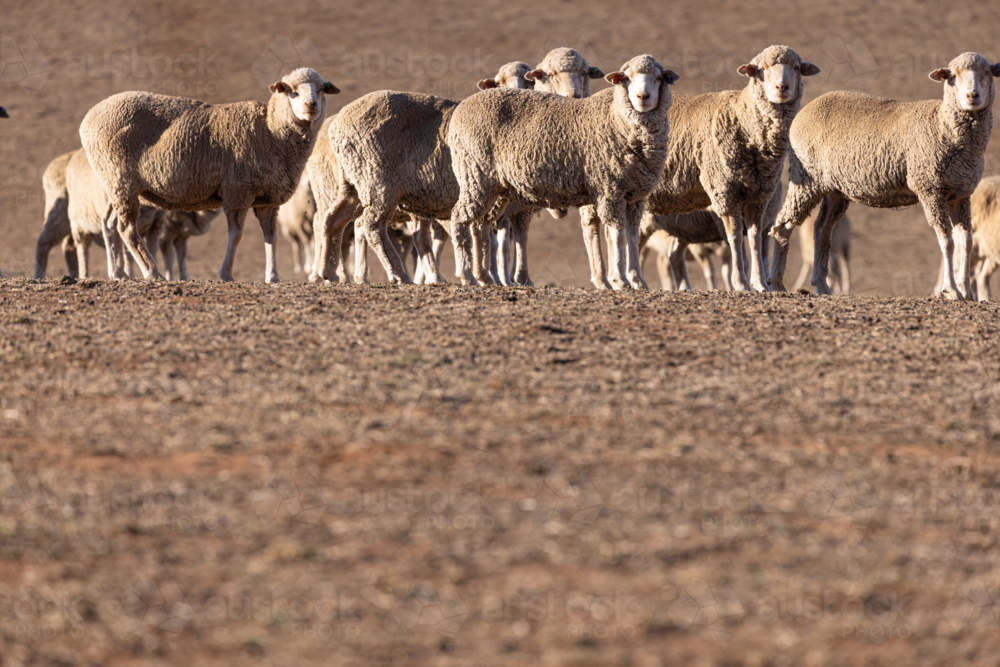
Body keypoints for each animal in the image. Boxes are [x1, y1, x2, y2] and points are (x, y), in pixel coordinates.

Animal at [79, 67, 339, 283]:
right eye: (292, 91)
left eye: (320, 89)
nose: (311, 105)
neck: (270, 131)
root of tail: (88, 118)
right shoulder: (237, 190)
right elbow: (236, 235)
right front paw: (226, 274)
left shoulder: (268, 199)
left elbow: (270, 238)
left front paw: (273, 277)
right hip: (121, 179)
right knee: (127, 229)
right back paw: (152, 272)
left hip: (116, 184)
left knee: (109, 224)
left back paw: (118, 273)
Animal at [445, 54, 678, 287]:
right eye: (627, 78)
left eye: (658, 78)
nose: (643, 96)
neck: (617, 118)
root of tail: (463, 107)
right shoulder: (610, 191)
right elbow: (618, 236)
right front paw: (620, 280)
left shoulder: (636, 196)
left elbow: (632, 236)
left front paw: (637, 279)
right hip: (474, 175)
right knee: (460, 219)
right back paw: (466, 274)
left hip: (493, 187)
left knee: (479, 225)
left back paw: (483, 276)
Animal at [634, 45, 820, 293]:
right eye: (761, 69)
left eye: (797, 67)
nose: (782, 88)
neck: (743, 120)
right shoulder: (725, 191)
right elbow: (735, 239)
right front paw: (740, 282)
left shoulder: (758, 197)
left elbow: (754, 238)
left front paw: (761, 284)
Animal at [770, 53, 1000, 300]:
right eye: (953, 76)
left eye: (986, 74)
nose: (972, 96)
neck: (941, 124)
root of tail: (807, 108)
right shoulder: (931, 189)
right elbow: (947, 242)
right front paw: (951, 290)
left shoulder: (960, 193)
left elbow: (966, 242)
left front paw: (966, 291)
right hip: (805, 178)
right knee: (783, 225)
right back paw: (776, 283)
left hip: (835, 188)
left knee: (822, 229)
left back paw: (821, 285)